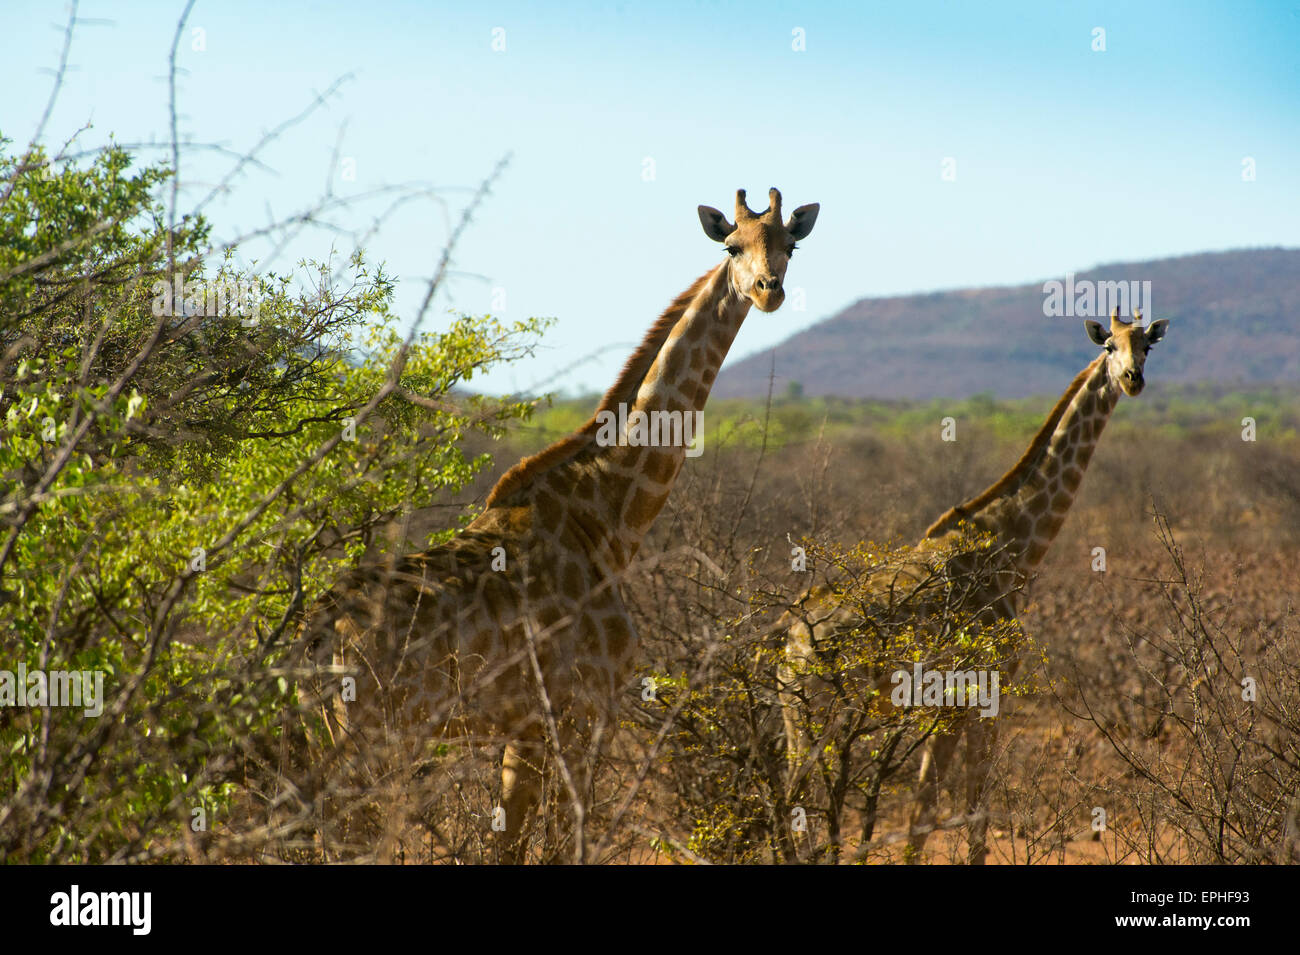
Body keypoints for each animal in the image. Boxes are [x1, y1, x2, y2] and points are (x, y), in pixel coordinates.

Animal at [300, 188, 819, 862]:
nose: (767, 290)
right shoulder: (587, 706)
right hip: (372, 735)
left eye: (791, 246)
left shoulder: (527, 724)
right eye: (731, 246)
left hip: (328, 734)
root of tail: (317, 634)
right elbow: (570, 835)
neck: (608, 511)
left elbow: (512, 838)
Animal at [780, 309, 1168, 864]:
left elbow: (927, 808)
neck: (1014, 545)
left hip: (799, 719)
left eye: (1147, 347)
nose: (1133, 379)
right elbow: (972, 805)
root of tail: (788, 644)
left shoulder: (950, 705)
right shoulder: (988, 687)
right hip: (825, 717)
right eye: (1109, 346)